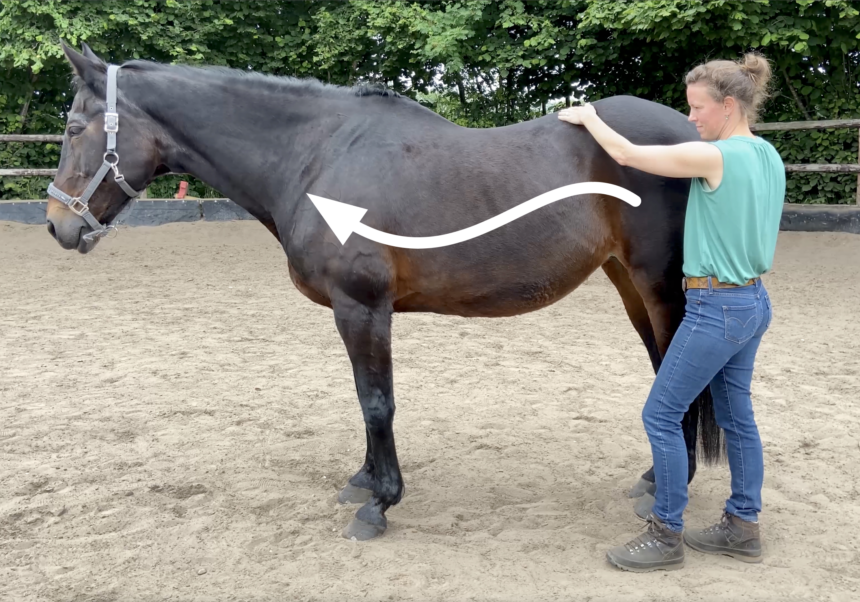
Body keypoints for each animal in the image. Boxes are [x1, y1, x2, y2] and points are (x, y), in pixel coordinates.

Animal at [46, 43, 722, 541]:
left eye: (75, 127)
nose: (58, 226)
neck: (316, 156)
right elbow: (363, 398)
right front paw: (364, 481)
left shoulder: (362, 308)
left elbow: (377, 402)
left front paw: (380, 505)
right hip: (628, 283)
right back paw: (652, 477)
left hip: (660, 285)